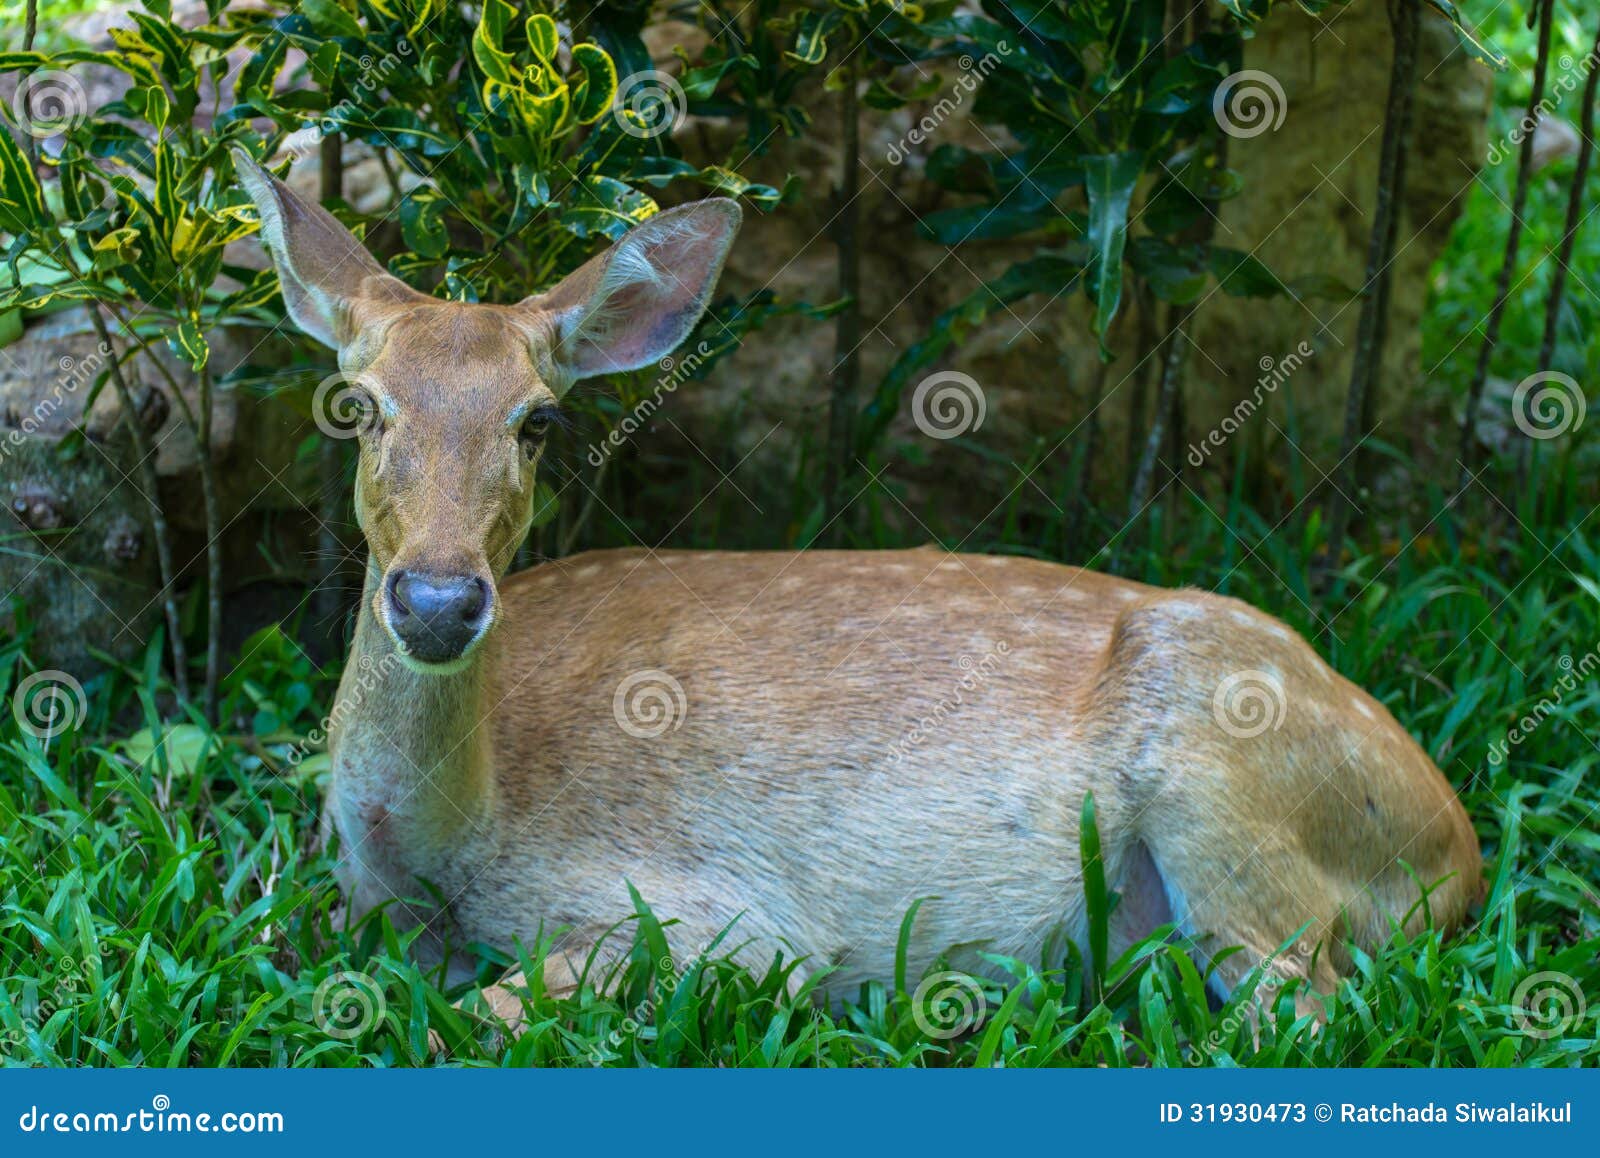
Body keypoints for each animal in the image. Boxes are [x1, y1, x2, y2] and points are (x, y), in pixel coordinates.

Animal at [233, 149, 1481, 1033]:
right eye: (357, 404)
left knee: (1309, 1011)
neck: (445, 857)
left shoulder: (727, 919)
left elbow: (481, 1017)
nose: (438, 600)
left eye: (538, 420)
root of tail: (1455, 850)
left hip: (1229, 785)